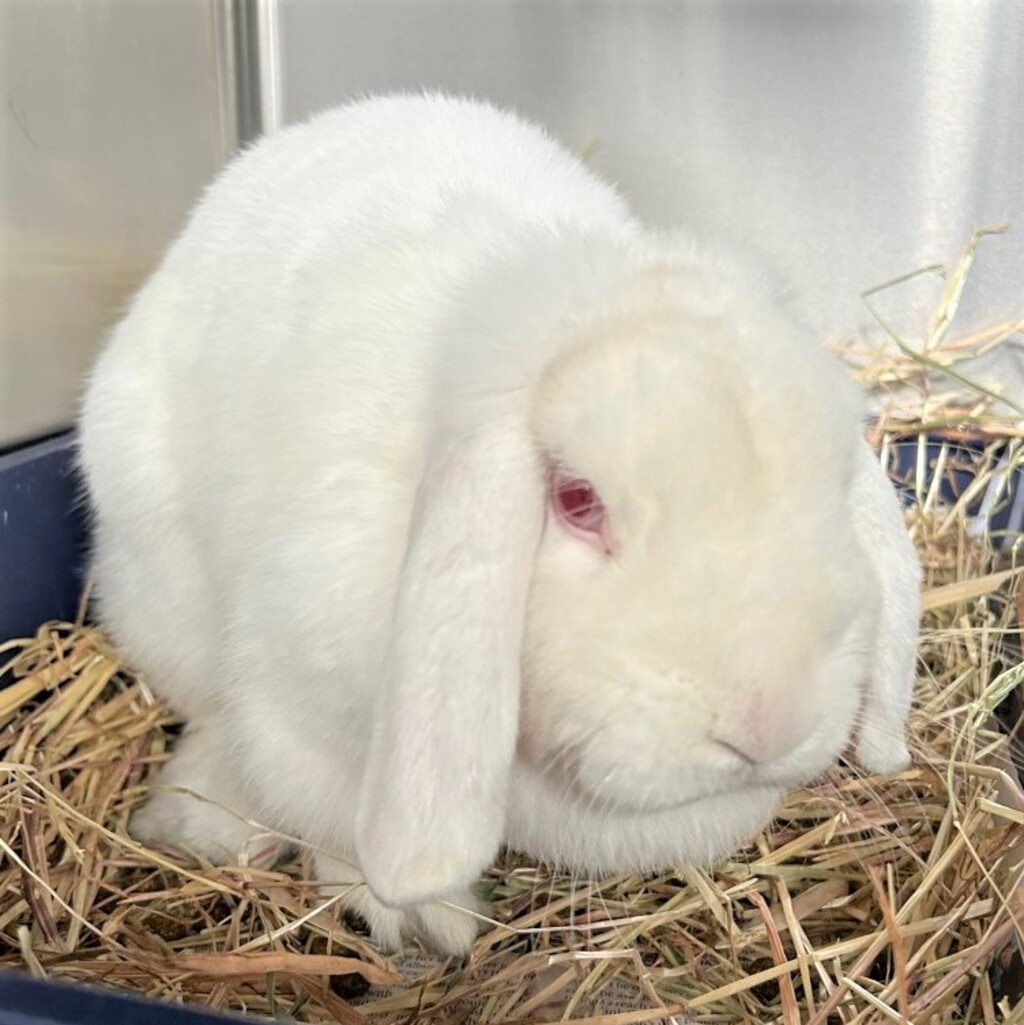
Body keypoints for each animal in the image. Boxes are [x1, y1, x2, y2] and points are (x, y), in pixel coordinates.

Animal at [78, 93, 921, 955]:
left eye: (835, 483)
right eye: (578, 499)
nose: (770, 725)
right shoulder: (298, 715)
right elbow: (334, 823)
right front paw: (420, 922)